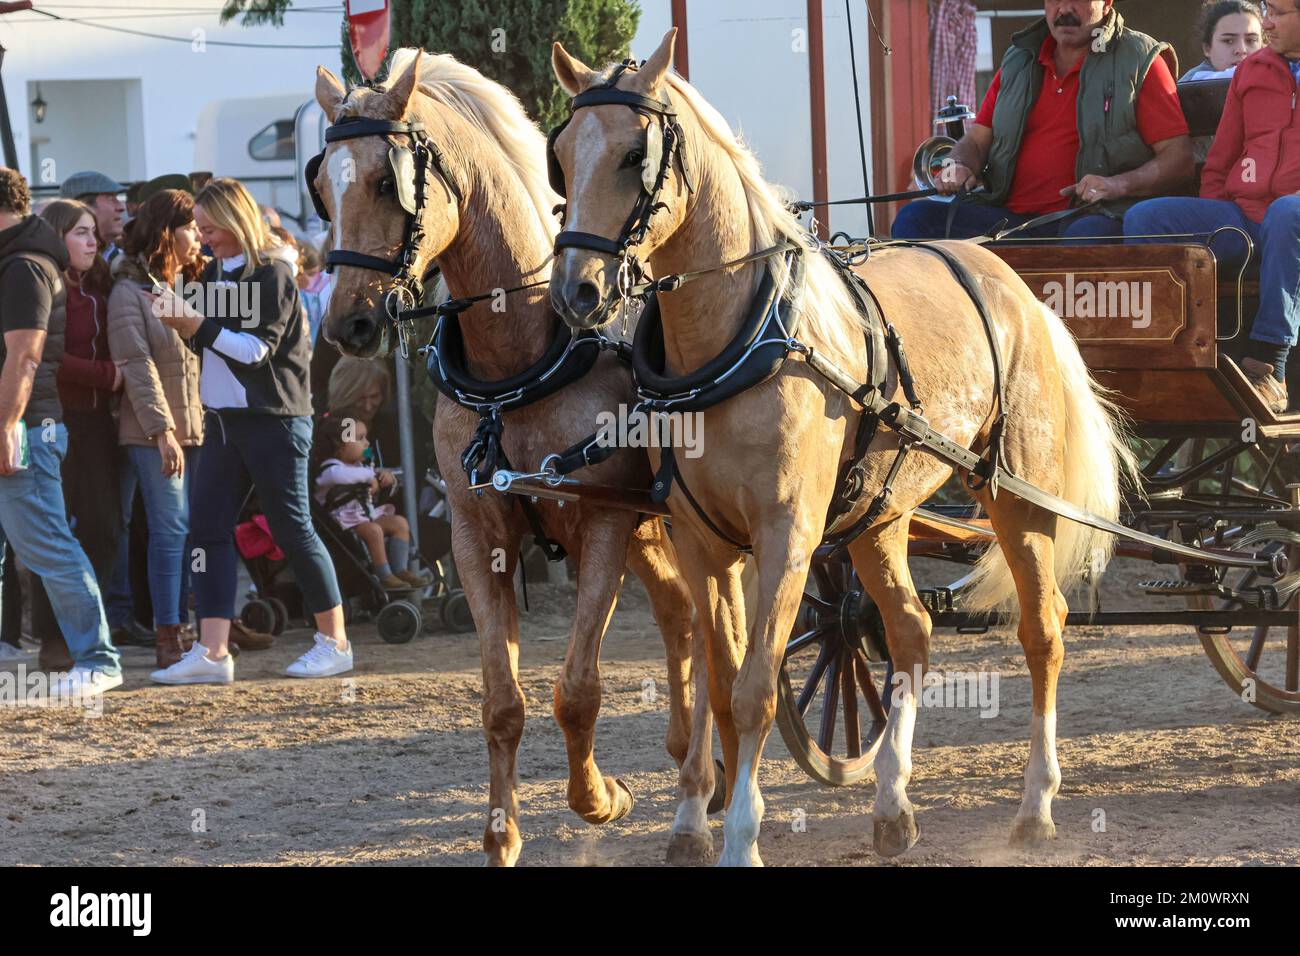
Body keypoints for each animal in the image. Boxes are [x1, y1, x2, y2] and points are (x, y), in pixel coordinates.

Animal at [311, 49, 718, 866]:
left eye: (387, 182)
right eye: (324, 187)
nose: (349, 324)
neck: (523, 359)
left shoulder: (603, 528)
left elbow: (578, 691)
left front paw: (600, 799)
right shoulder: (477, 538)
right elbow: (503, 702)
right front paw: (501, 836)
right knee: (682, 614)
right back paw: (689, 755)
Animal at [547, 29, 1134, 866]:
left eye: (635, 154)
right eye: (562, 155)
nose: (577, 293)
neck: (738, 334)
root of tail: (1009, 280)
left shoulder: (787, 534)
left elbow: (756, 691)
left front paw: (742, 837)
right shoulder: (700, 540)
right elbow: (719, 682)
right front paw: (692, 821)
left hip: (1016, 500)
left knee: (1042, 630)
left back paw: (1035, 805)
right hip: (877, 516)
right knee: (910, 630)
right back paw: (891, 803)